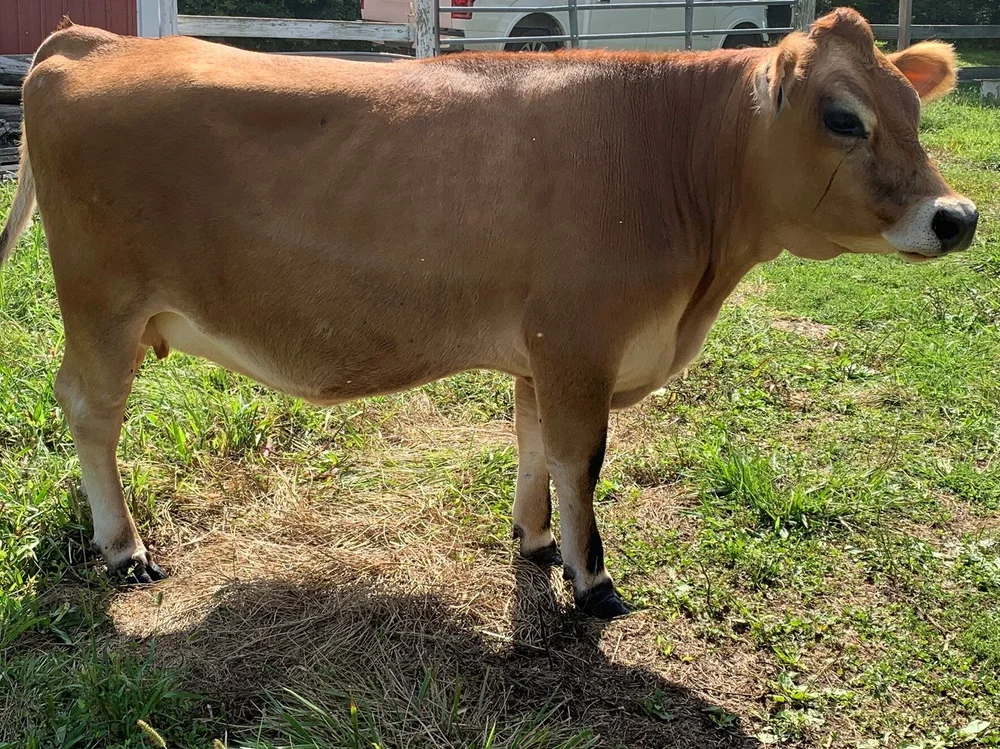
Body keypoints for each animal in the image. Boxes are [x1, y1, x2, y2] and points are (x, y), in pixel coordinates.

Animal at [0, 8, 978, 619]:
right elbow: (581, 459)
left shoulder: (541, 352)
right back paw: (123, 548)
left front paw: (536, 540)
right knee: (91, 410)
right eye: (843, 117)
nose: (959, 216)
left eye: (914, 105)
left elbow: (534, 443)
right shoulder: (581, 341)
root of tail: (88, 41)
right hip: (102, 306)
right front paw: (592, 581)